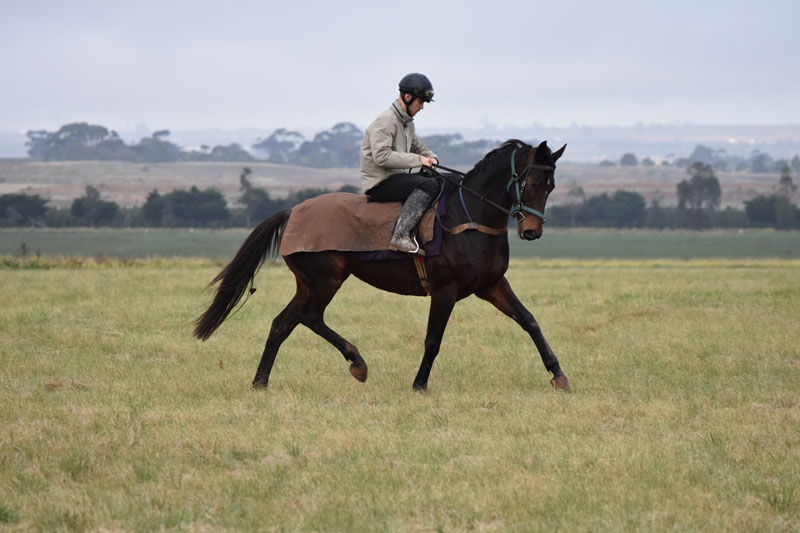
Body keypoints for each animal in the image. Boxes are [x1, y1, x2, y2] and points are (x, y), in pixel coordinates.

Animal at [194, 139, 571, 392]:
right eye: (531, 183)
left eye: (551, 186)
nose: (531, 231)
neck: (470, 217)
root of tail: (292, 212)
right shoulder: (445, 291)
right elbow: (433, 340)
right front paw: (419, 385)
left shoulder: (492, 286)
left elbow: (530, 321)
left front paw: (558, 374)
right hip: (326, 280)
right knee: (309, 317)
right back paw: (357, 363)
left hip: (309, 284)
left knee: (282, 324)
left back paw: (261, 382)